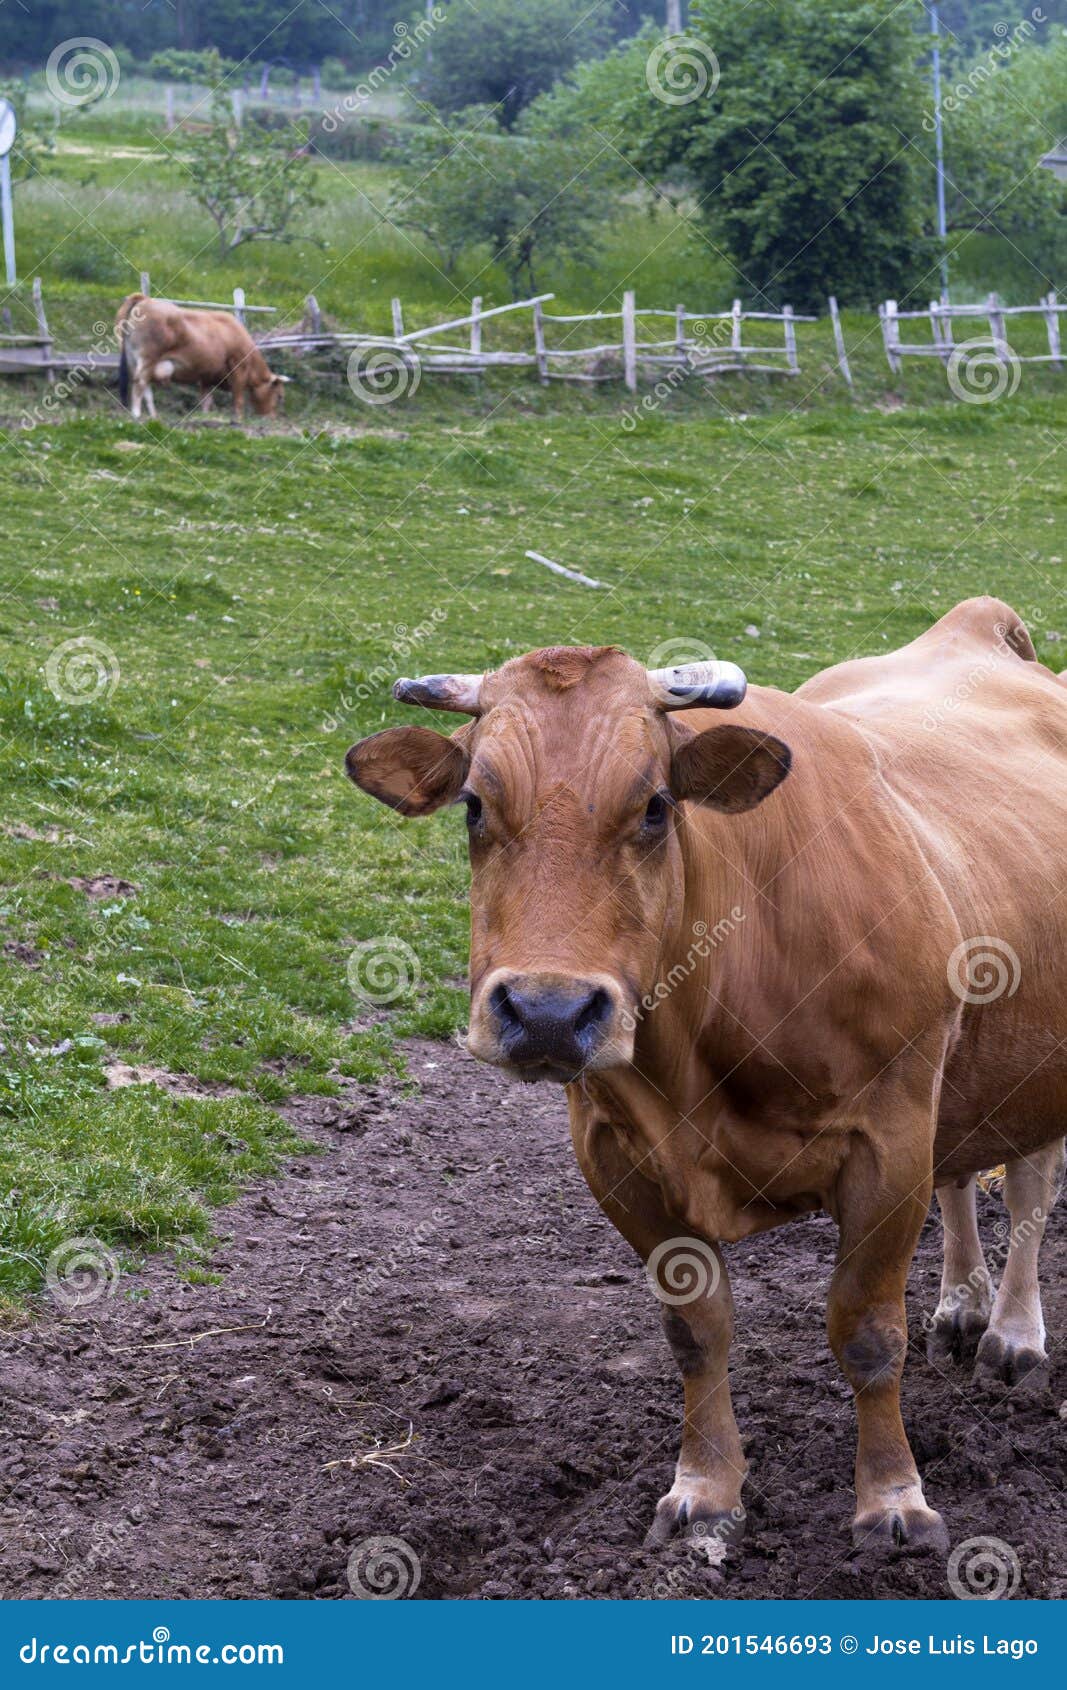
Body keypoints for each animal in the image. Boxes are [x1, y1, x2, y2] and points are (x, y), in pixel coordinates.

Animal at [114, 294, 288, 422]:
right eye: (279, 396)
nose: (272, 418)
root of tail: (146, 299)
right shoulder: (238, 368)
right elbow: (238, 397)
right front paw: (238, 418)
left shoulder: (206, 375)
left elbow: (206, 399)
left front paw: (206, 415)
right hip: (148, 358)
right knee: (140, 384)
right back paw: (136, 413)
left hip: (134, 360)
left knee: (145, 387)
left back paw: (153, 416)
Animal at [344, 598, 1066, 1555]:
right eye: (472, 805)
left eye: (654, 806)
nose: (546, 1011)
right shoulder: (615, 1155)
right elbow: (695, 1333)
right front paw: (705, 1489)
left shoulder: (890, 1140)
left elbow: (868, 1332)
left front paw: (892, 1501)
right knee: (964, 1175)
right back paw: (961, 1307)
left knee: (1027, 1185)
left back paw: (1013, 1334)